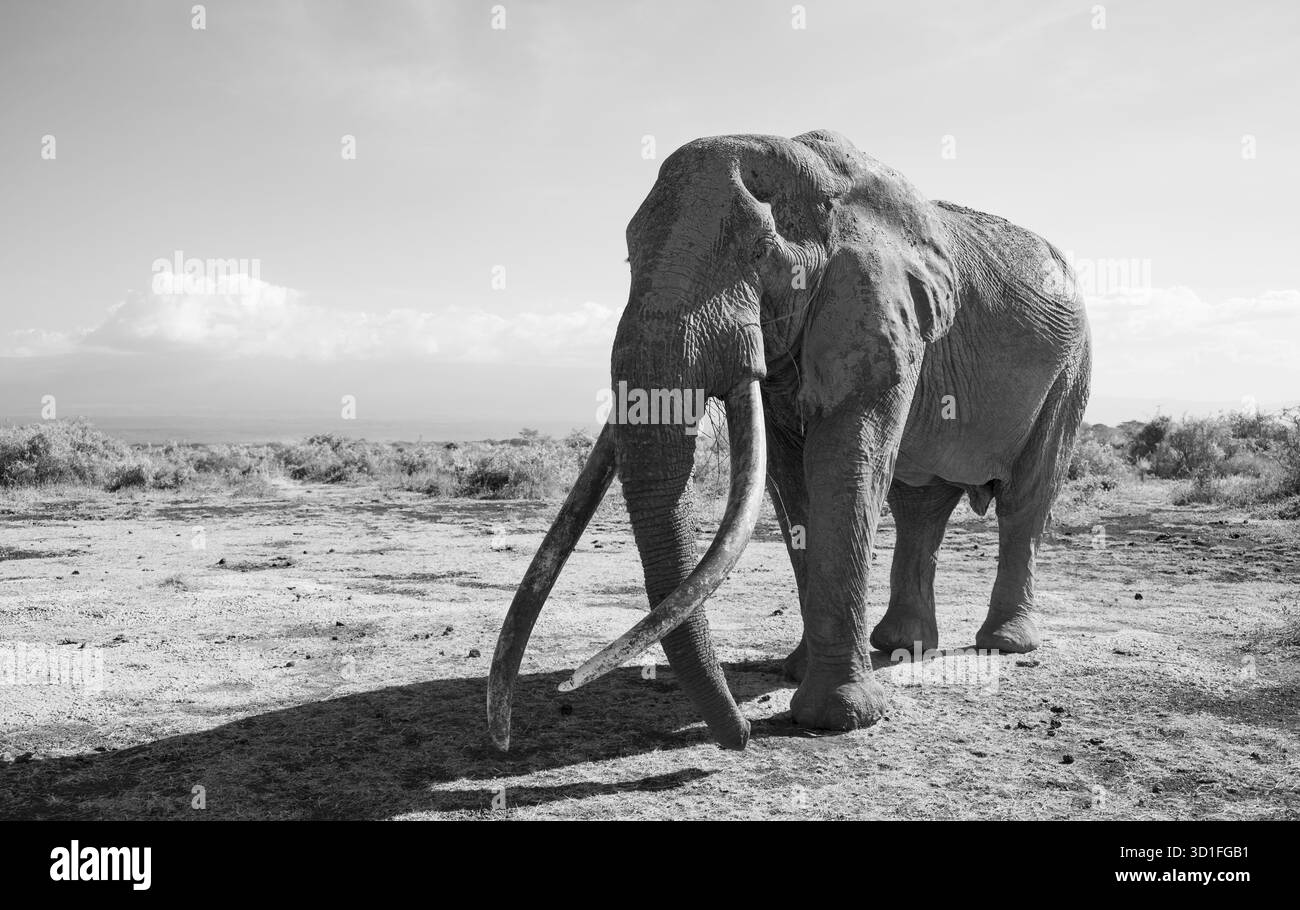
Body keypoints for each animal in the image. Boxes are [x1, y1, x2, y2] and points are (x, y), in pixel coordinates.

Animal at [489, 130, 1091, 751]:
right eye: (630, 257)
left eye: (760, 256)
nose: (742, 734)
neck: (815, 169)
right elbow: (789, 476)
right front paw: (796, 677)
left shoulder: (876, 315)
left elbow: (843, 465)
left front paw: (839, 719)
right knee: (920, 507)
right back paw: (902, 646)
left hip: (1070, 371)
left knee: (1025, 500)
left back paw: (1004, 645)